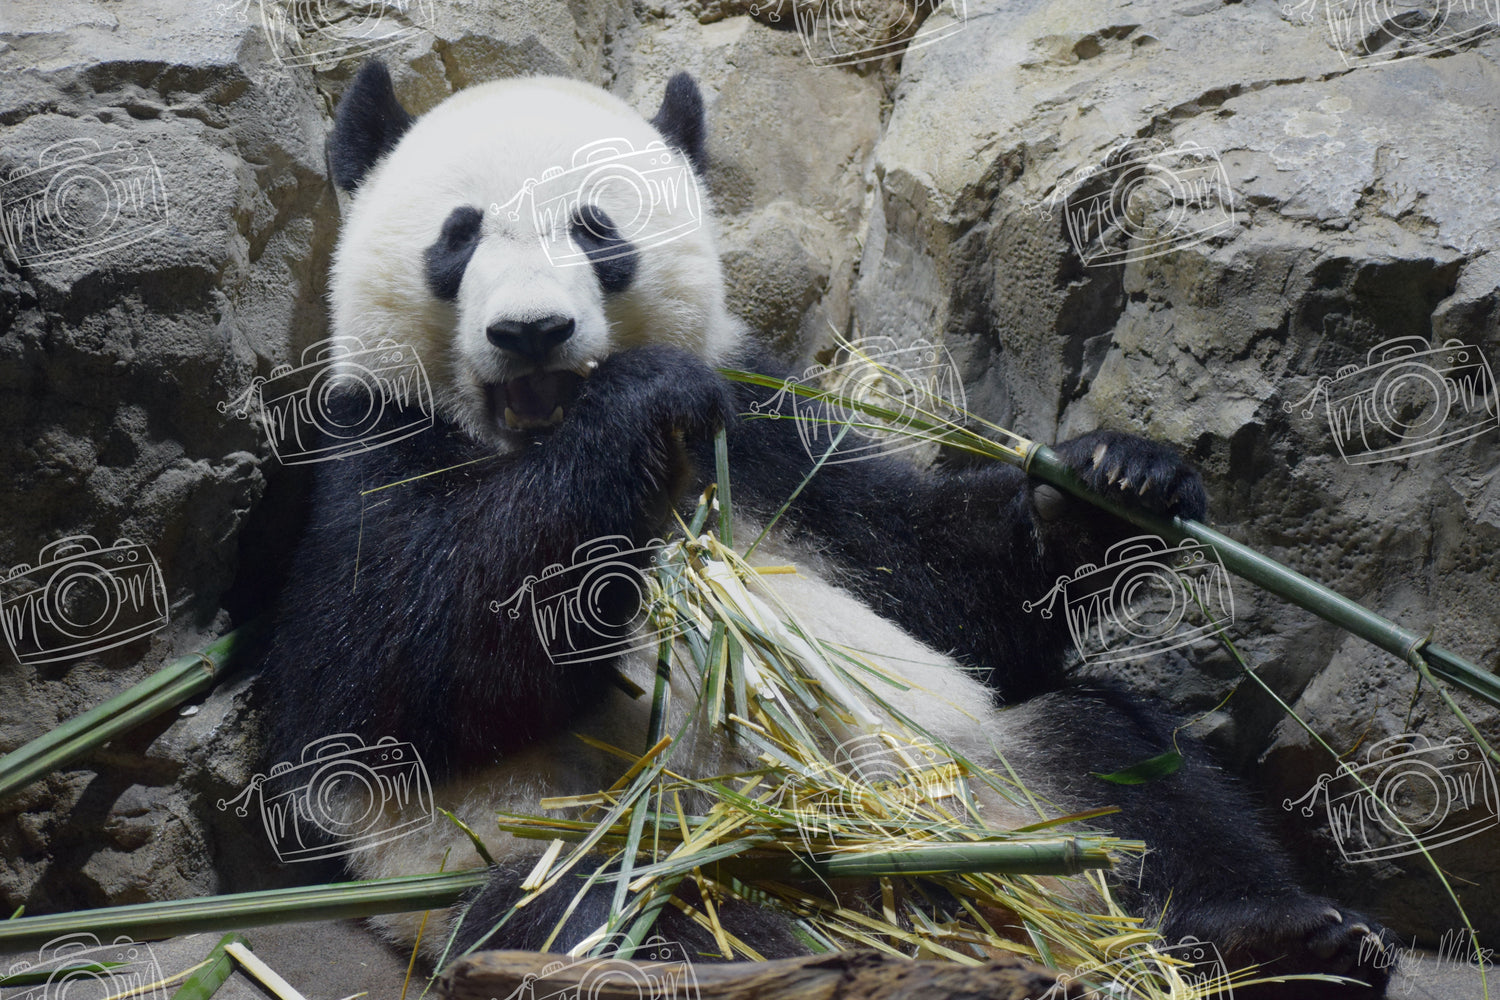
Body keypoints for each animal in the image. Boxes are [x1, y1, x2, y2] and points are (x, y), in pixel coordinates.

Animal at [253, 60, 1396, 998]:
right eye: (458, 236)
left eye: (595, 230)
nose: (531, 331)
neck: (529, 437)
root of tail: (932, 893)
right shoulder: (371, 450)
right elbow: (389, 690)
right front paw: (636, 406)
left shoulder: (771, 440)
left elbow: (936, 586)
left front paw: (1114, 478)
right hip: (554, 844)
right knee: (625, 917)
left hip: (999, 786)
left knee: (1121, 766)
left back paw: (1286, 940)